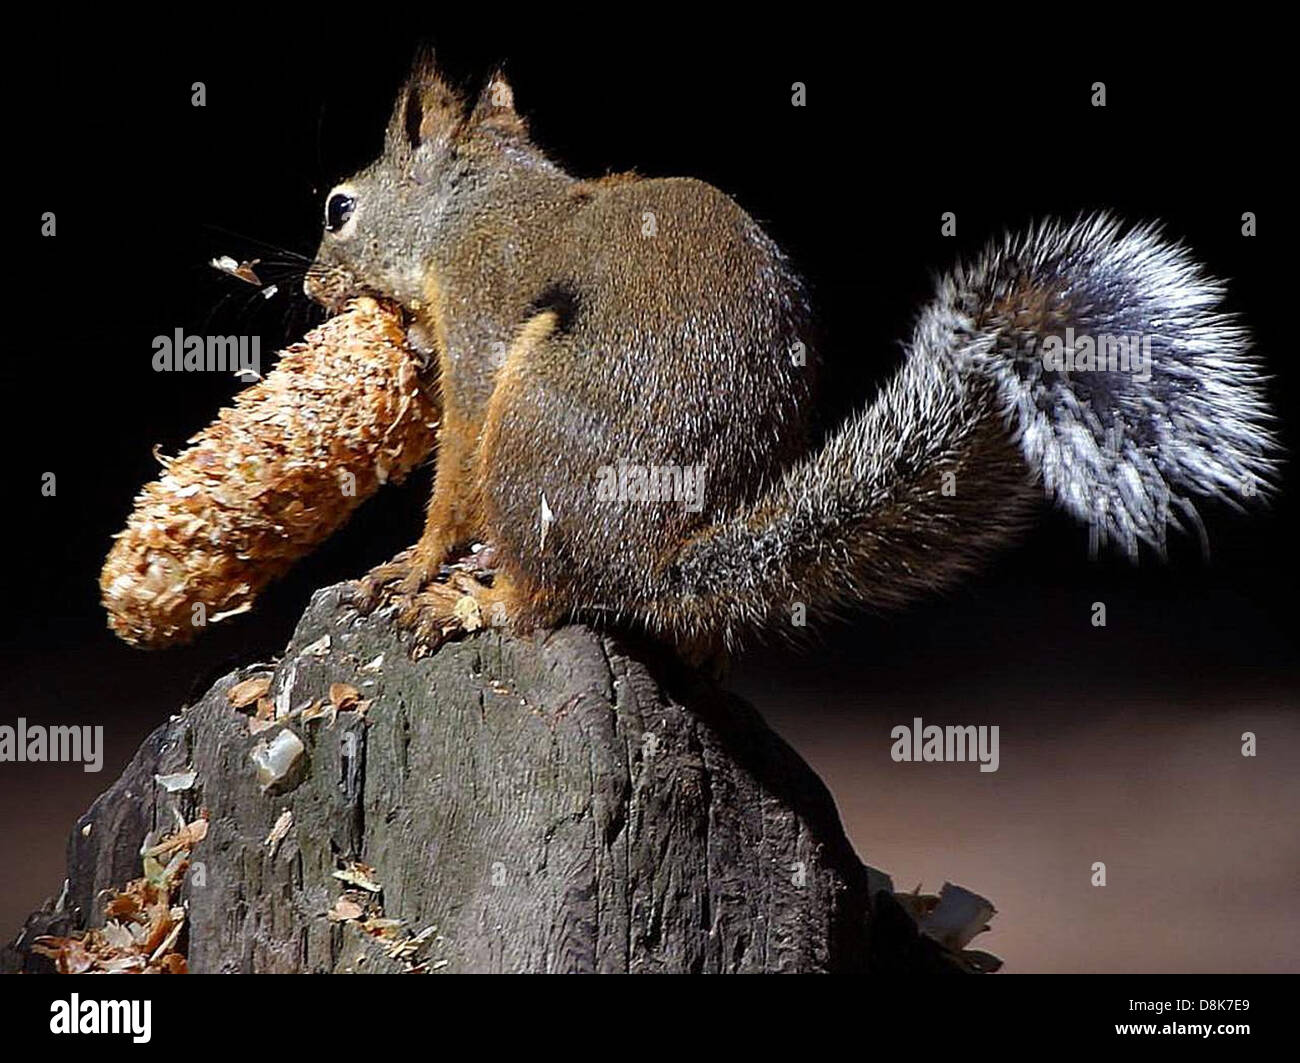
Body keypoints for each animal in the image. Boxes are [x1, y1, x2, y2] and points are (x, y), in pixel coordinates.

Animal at [304, 54, 1275, 661]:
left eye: (338, 208)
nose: (311, 285)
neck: (473, 203)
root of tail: (651, 563)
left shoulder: (481, 310)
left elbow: (458, 455)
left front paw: (415, 562)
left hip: (535, 421)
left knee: (539, 598)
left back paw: (470, 598)